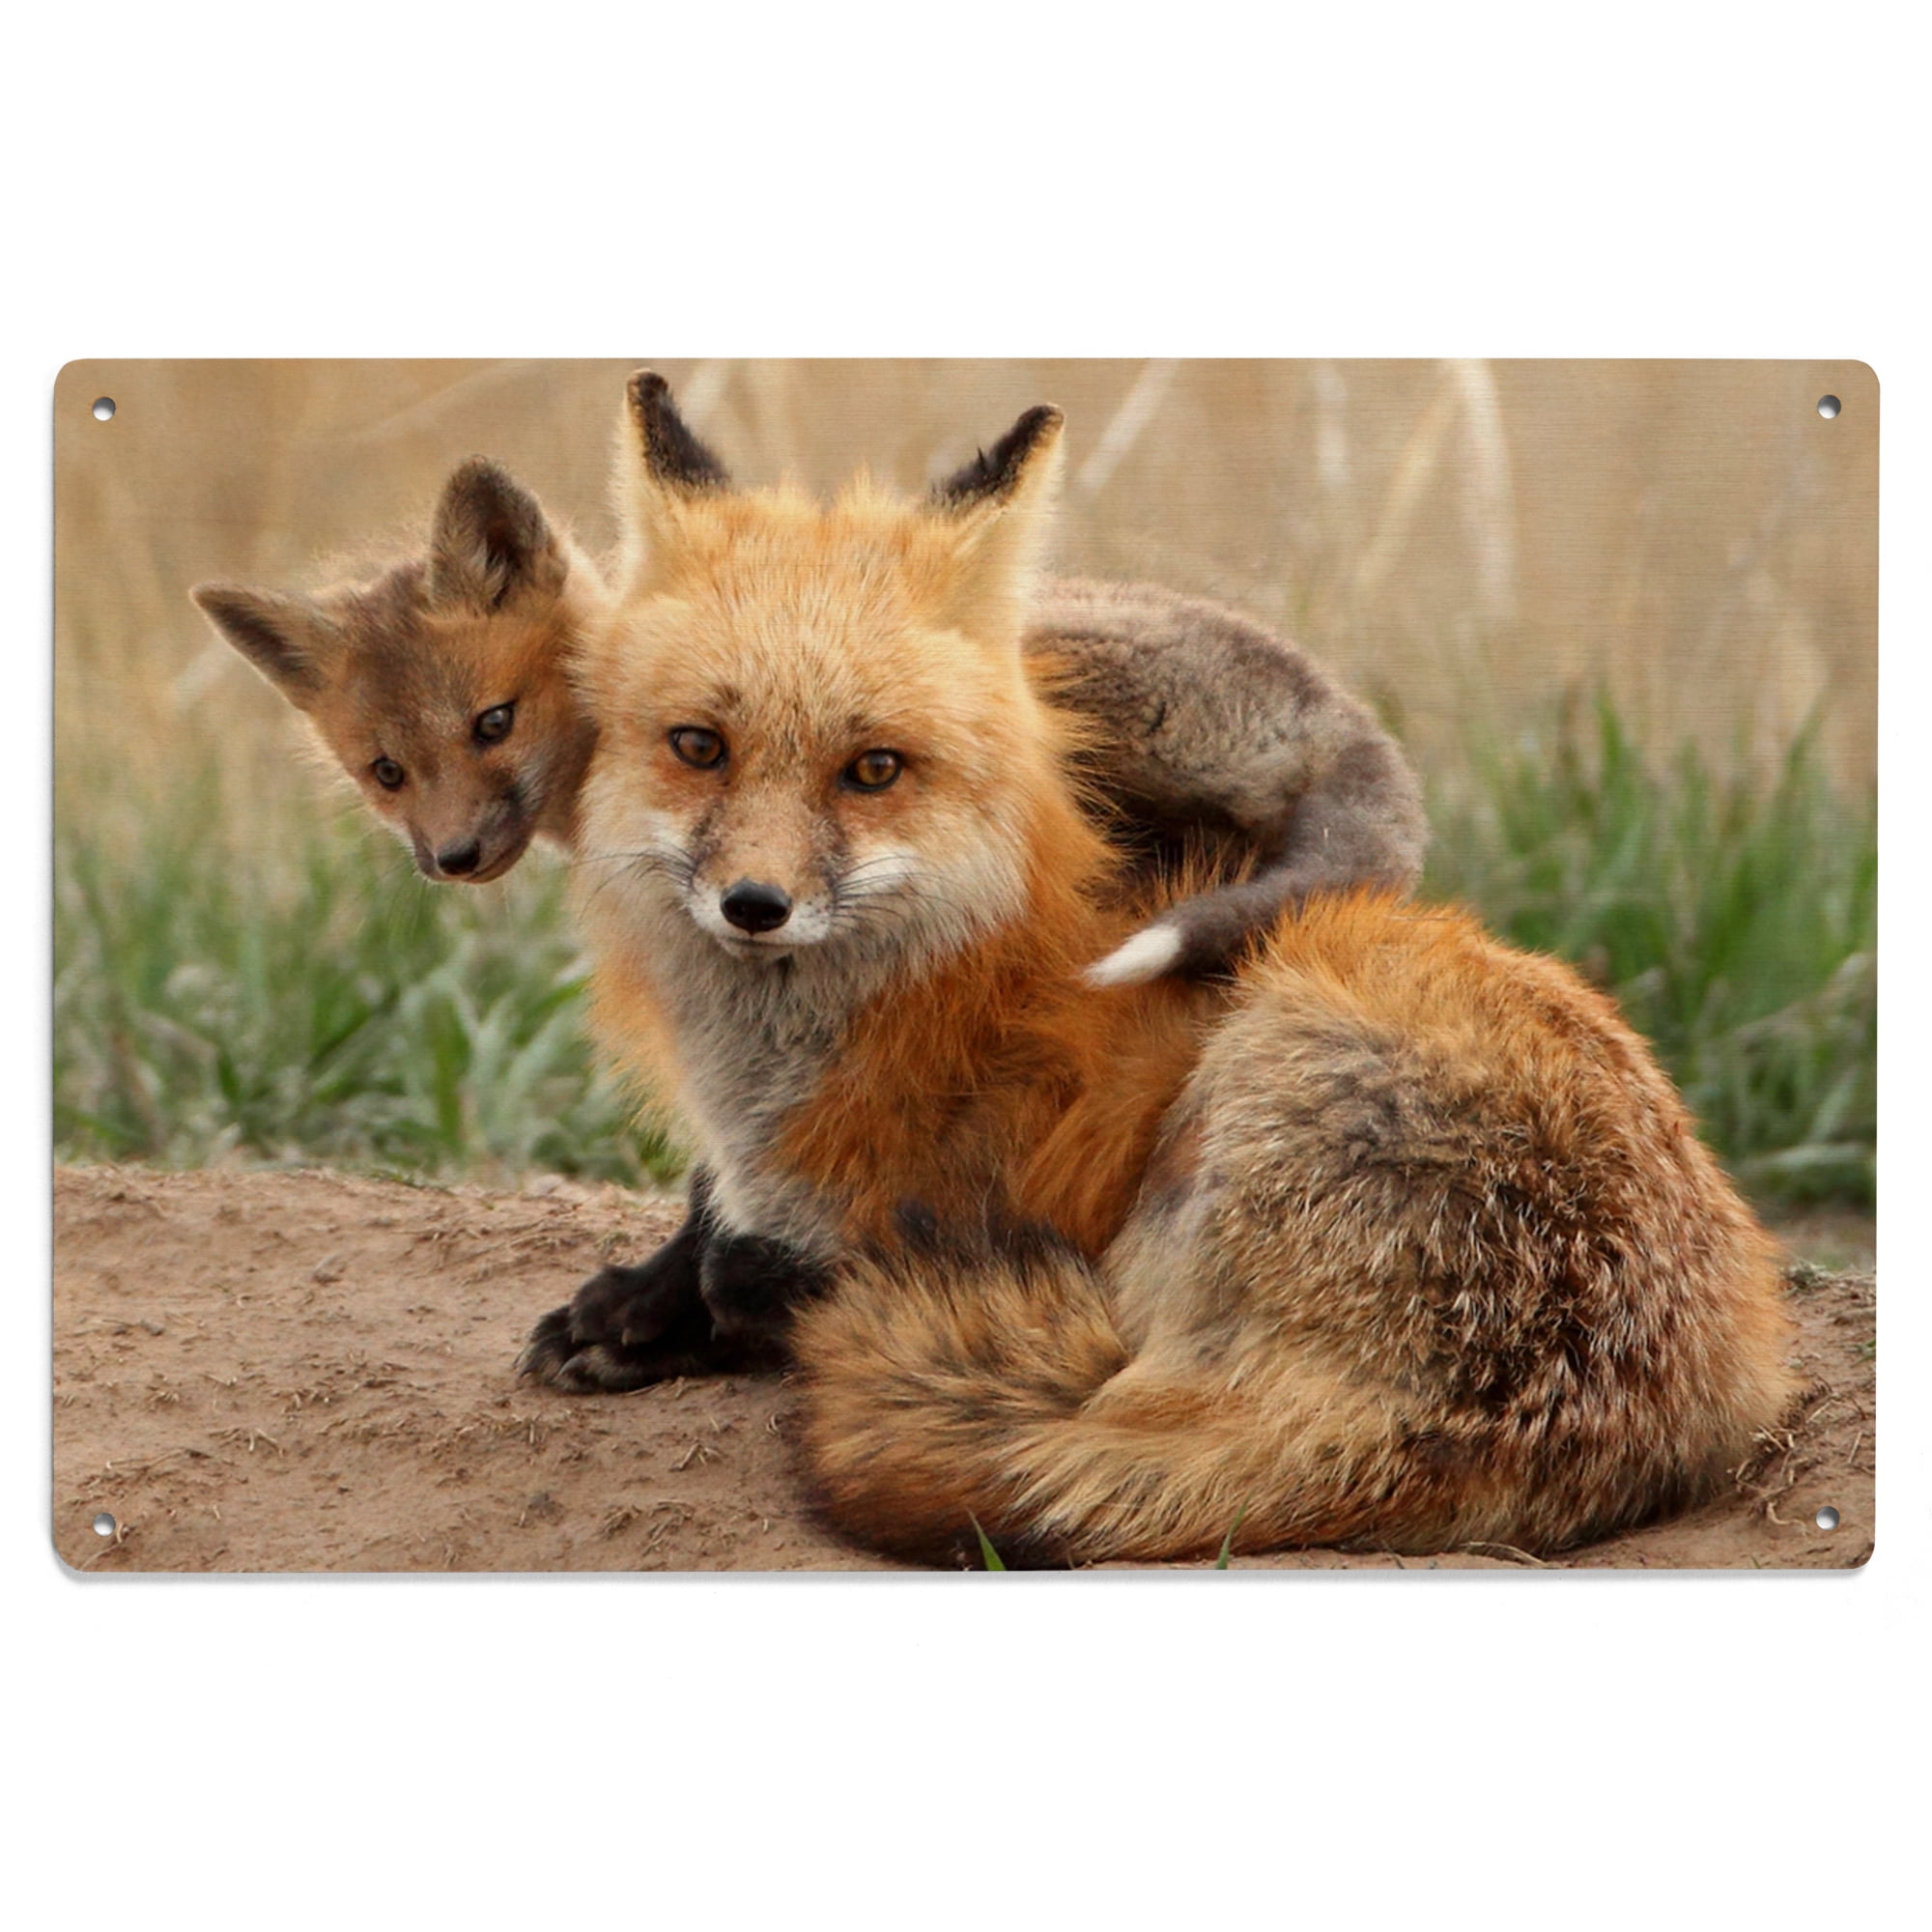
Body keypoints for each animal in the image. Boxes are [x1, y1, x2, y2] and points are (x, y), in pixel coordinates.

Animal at [548, 371, 1798, 1564]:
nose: (754, 906)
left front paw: (699, 1305)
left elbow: (772, 1261)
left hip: (1249, 1076)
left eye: (873, 769)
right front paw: (636, 1308)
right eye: (698, 747)